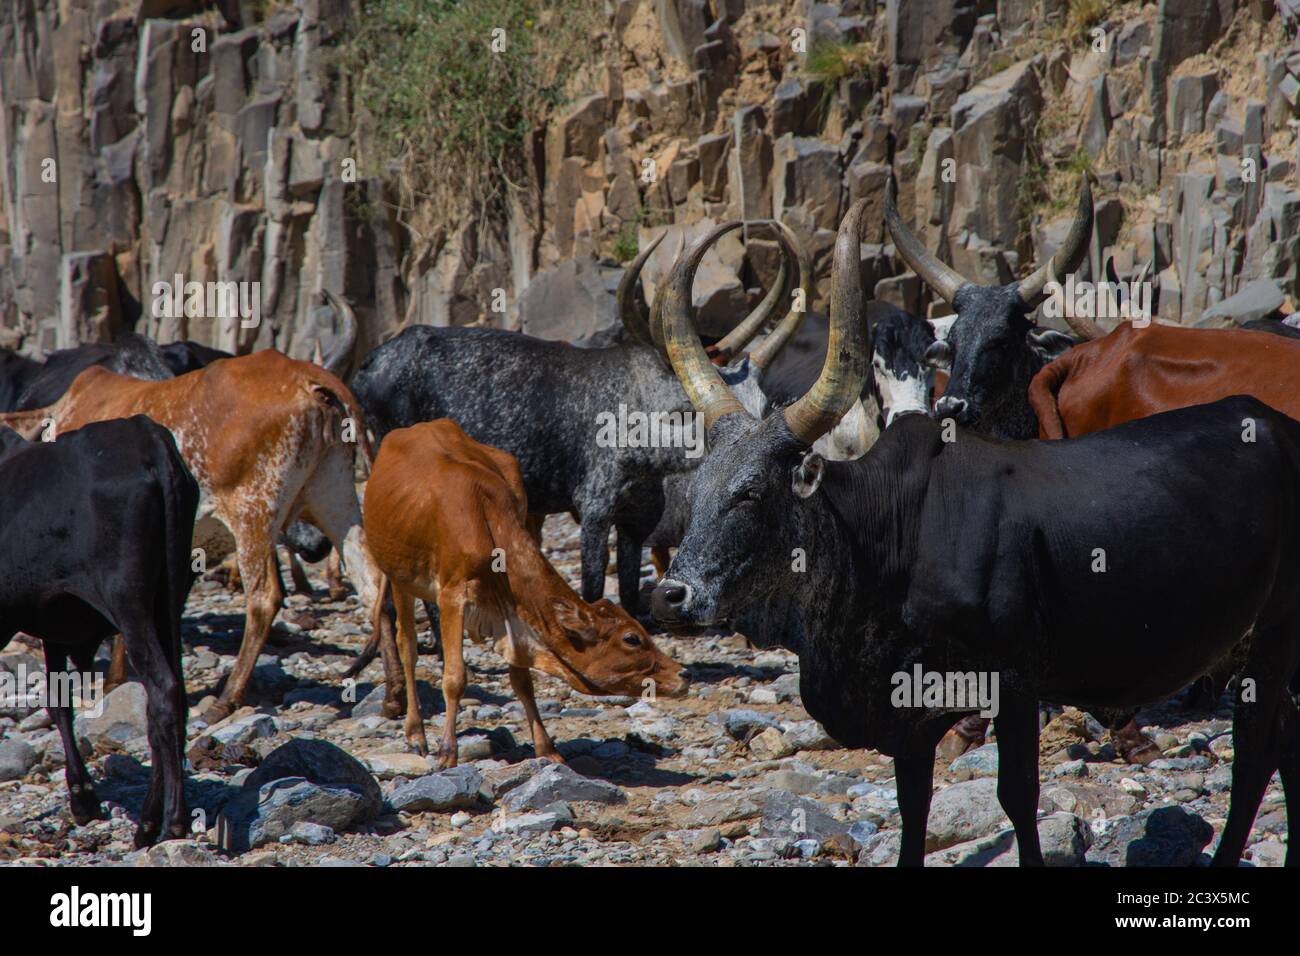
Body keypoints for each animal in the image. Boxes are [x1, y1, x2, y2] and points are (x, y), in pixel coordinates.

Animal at [0, 349, 399, 724]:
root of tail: (307, 375)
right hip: (333, 496)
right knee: (371, 586)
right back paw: (394, 696)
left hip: (254, 511)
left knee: (264, 599)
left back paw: (227, 698)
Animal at [0, 417, 199, 845]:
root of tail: (147, 438)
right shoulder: (55, 628)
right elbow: (59, 703)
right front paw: (83, 797)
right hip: (168, 600)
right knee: (171, 699)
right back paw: (152, 819)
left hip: (127, 600)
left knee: (163, 691)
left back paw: (167, 822)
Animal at [350, 221, 811, 616]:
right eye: (693, 409)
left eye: (763, 402)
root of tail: (369, 365)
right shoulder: (593, 512)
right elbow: (593, 590)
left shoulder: (636, 525)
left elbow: (631, 596)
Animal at [363, 419, 689, 760]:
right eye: (632, 639)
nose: (684, 674)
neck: (485, 516)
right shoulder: (452, 596)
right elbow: (454, 677)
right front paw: (447, 752)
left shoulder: (512, 612)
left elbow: (522, 679)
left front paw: (546, 748)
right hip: (398, 575)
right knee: (408, 647)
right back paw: (415, 732)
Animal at [649, 200, 1300, 867]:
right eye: (697, 488)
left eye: (752, 492)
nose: (671, 594)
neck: (891, 536)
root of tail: (1277, 425)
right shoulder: (911, 715)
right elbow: (913, 805)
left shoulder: (1013, 684)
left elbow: (1017, 796)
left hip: (1275, 634)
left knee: (1256, 753)